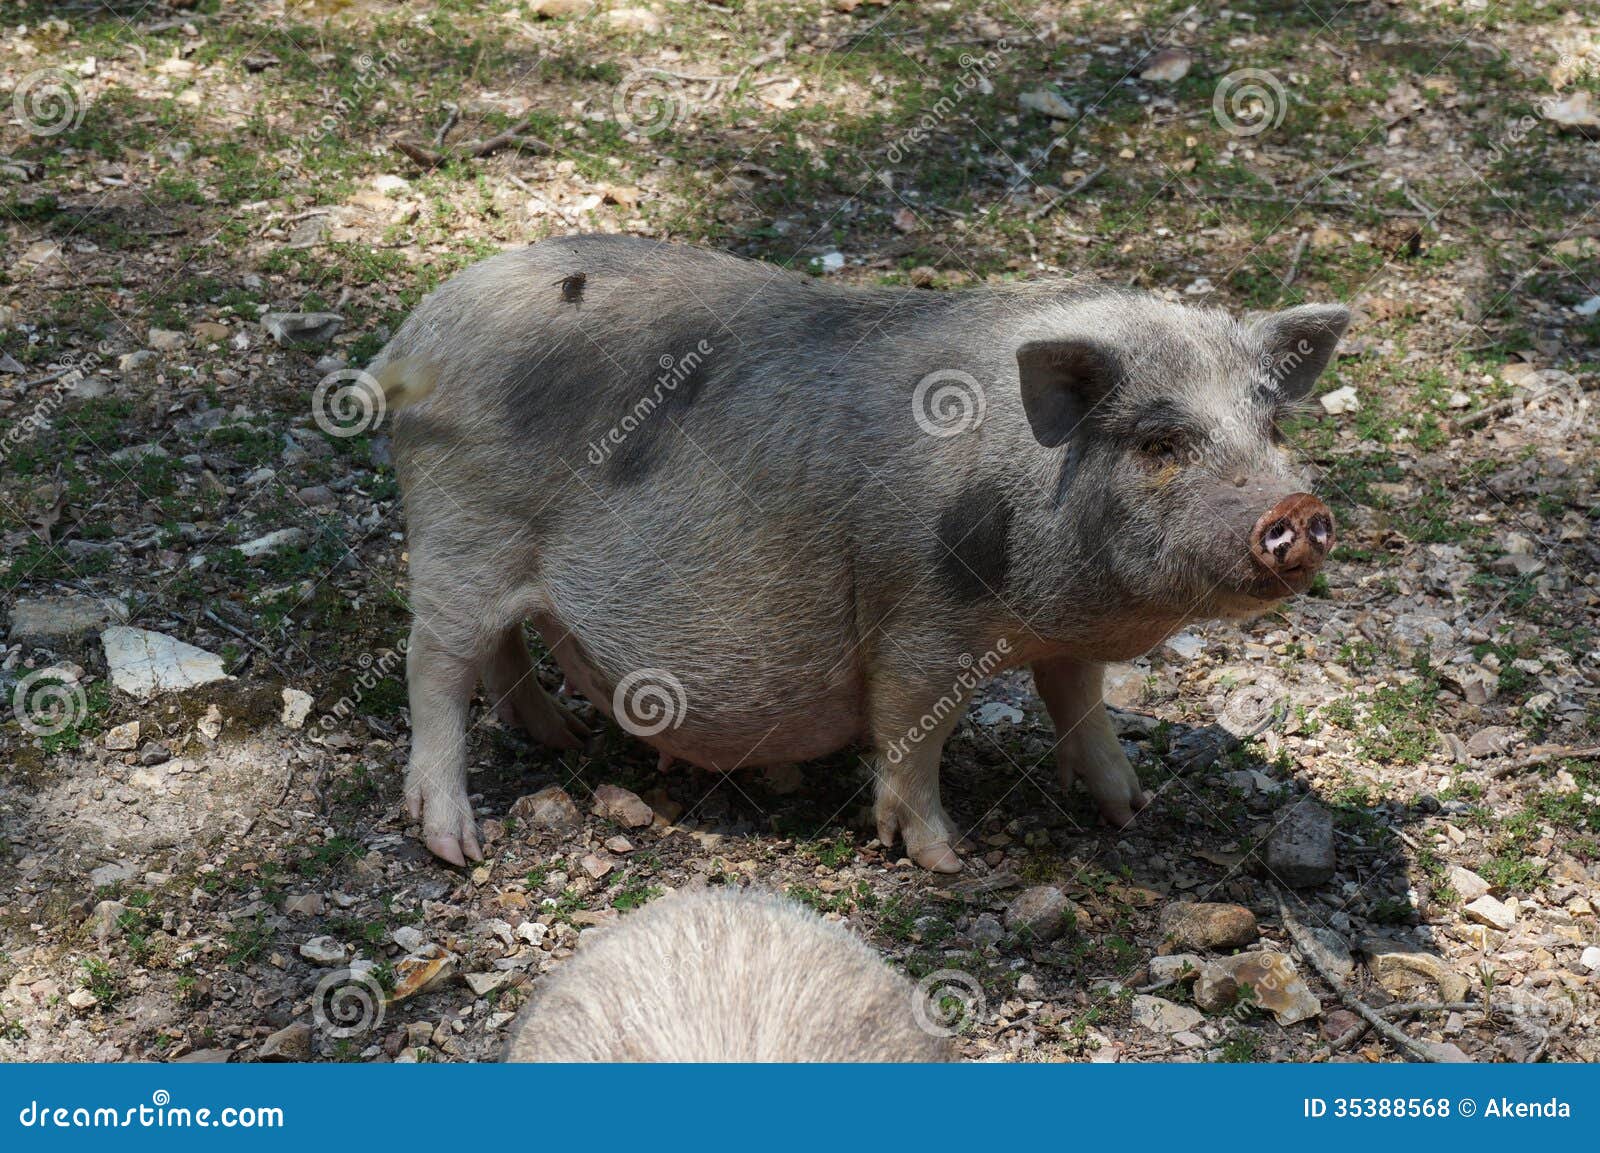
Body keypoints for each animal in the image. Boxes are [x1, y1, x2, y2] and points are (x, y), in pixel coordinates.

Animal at [372, 234, 1344, 871]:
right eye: (1158, 443)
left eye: (1271, 427)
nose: (1297, 509)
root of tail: (414, 337)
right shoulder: (920, 618)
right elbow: (913, 731)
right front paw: (946, 861)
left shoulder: (1062, 641)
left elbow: (1080, 703)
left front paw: (1131, 809)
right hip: (462, 534)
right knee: (434, 664)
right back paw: (459, 848)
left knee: (502, 649)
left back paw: (563, 735)